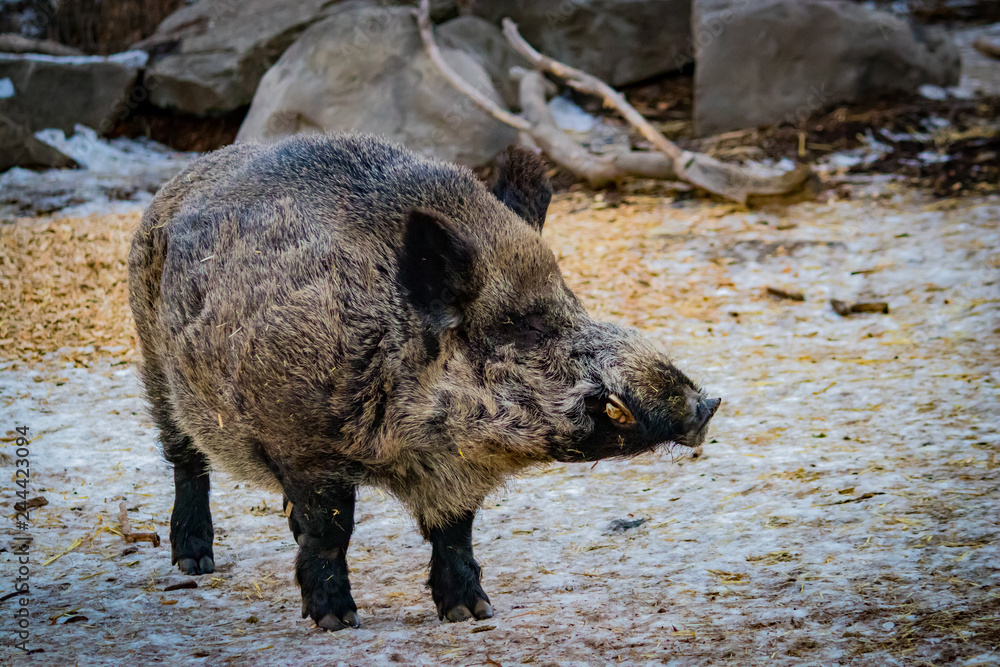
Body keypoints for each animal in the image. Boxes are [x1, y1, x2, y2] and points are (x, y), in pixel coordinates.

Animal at [128, 133, 720, 630]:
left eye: (572, 302)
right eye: (522, 325)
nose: (707, 402)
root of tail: (178, 183)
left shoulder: (456, 468)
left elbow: (455, 531)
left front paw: (472, 614)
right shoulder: (301, 442)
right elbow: (331, 530)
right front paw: (337, 622)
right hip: (153, 360)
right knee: (186, 458)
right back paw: (194, 561)